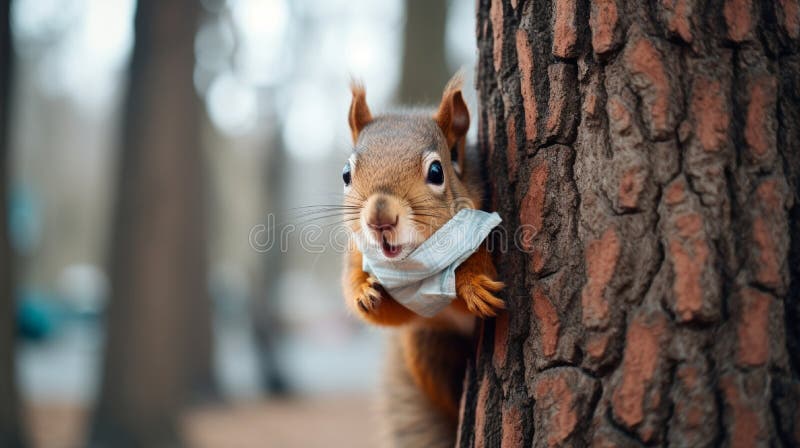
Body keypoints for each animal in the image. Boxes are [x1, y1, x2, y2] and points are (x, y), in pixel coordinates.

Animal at [341, 74, 505, 447]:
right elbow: (387, 309)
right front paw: (363, 293)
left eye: (436, 171)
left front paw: (474, 285)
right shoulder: (357, 253)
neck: (412, 264)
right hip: (427, 344)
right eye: (345, 174)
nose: (380, 219)